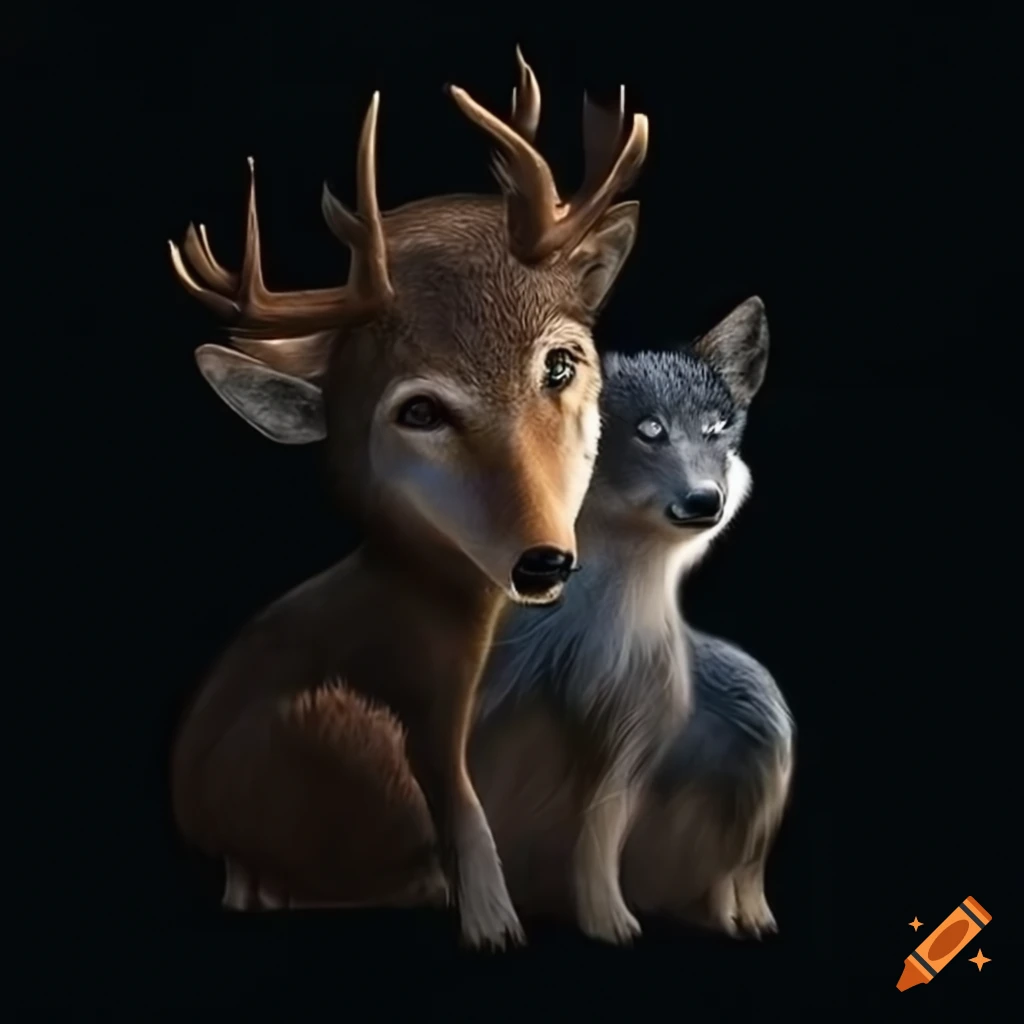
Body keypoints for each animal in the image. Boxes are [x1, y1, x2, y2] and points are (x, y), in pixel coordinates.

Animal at [166, 49, 649, 950]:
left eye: (560, 363)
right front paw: (495, 923)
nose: (542, 560)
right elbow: (463, 823)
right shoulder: (416, 718)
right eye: (419, 410)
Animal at [469, 296, 794, 943]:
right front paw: (487, 915)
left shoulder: (629, 751)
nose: (706, 500)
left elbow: (596, 845)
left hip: (763, 788)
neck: (587, 640)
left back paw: (747, 920)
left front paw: (609, 923)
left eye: (715, 431)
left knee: (740, 873)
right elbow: (473, 828)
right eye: (650, 430)